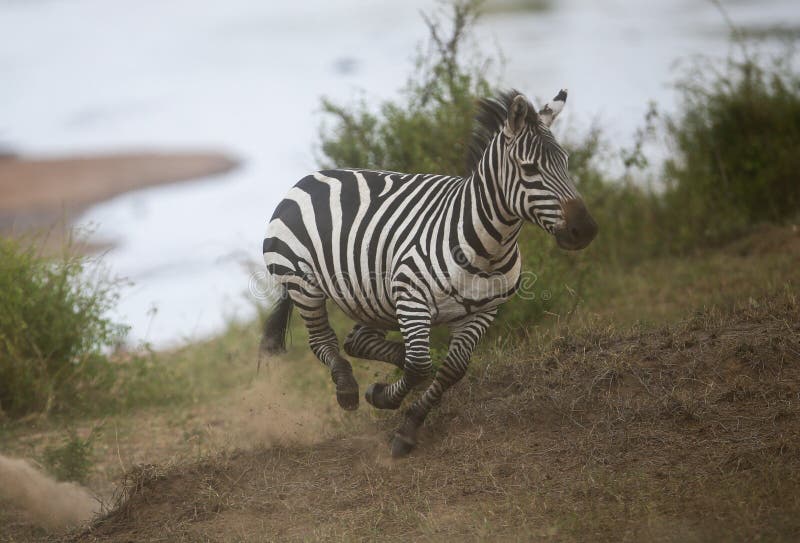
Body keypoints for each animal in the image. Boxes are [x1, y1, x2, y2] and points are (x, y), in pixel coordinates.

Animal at [261, 89, 597, 457]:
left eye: (566, 162)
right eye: (530, 168)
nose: (585, 230)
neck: (488, 247)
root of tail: (313, 177)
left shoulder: (484, 311)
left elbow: (451, 370)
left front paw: (407, 424)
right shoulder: (412, 299)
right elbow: (420, 364)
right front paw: (386, 399)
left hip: (375, 297)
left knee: (359, 341)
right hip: (303, 282)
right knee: (324, 341)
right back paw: (347, 388)